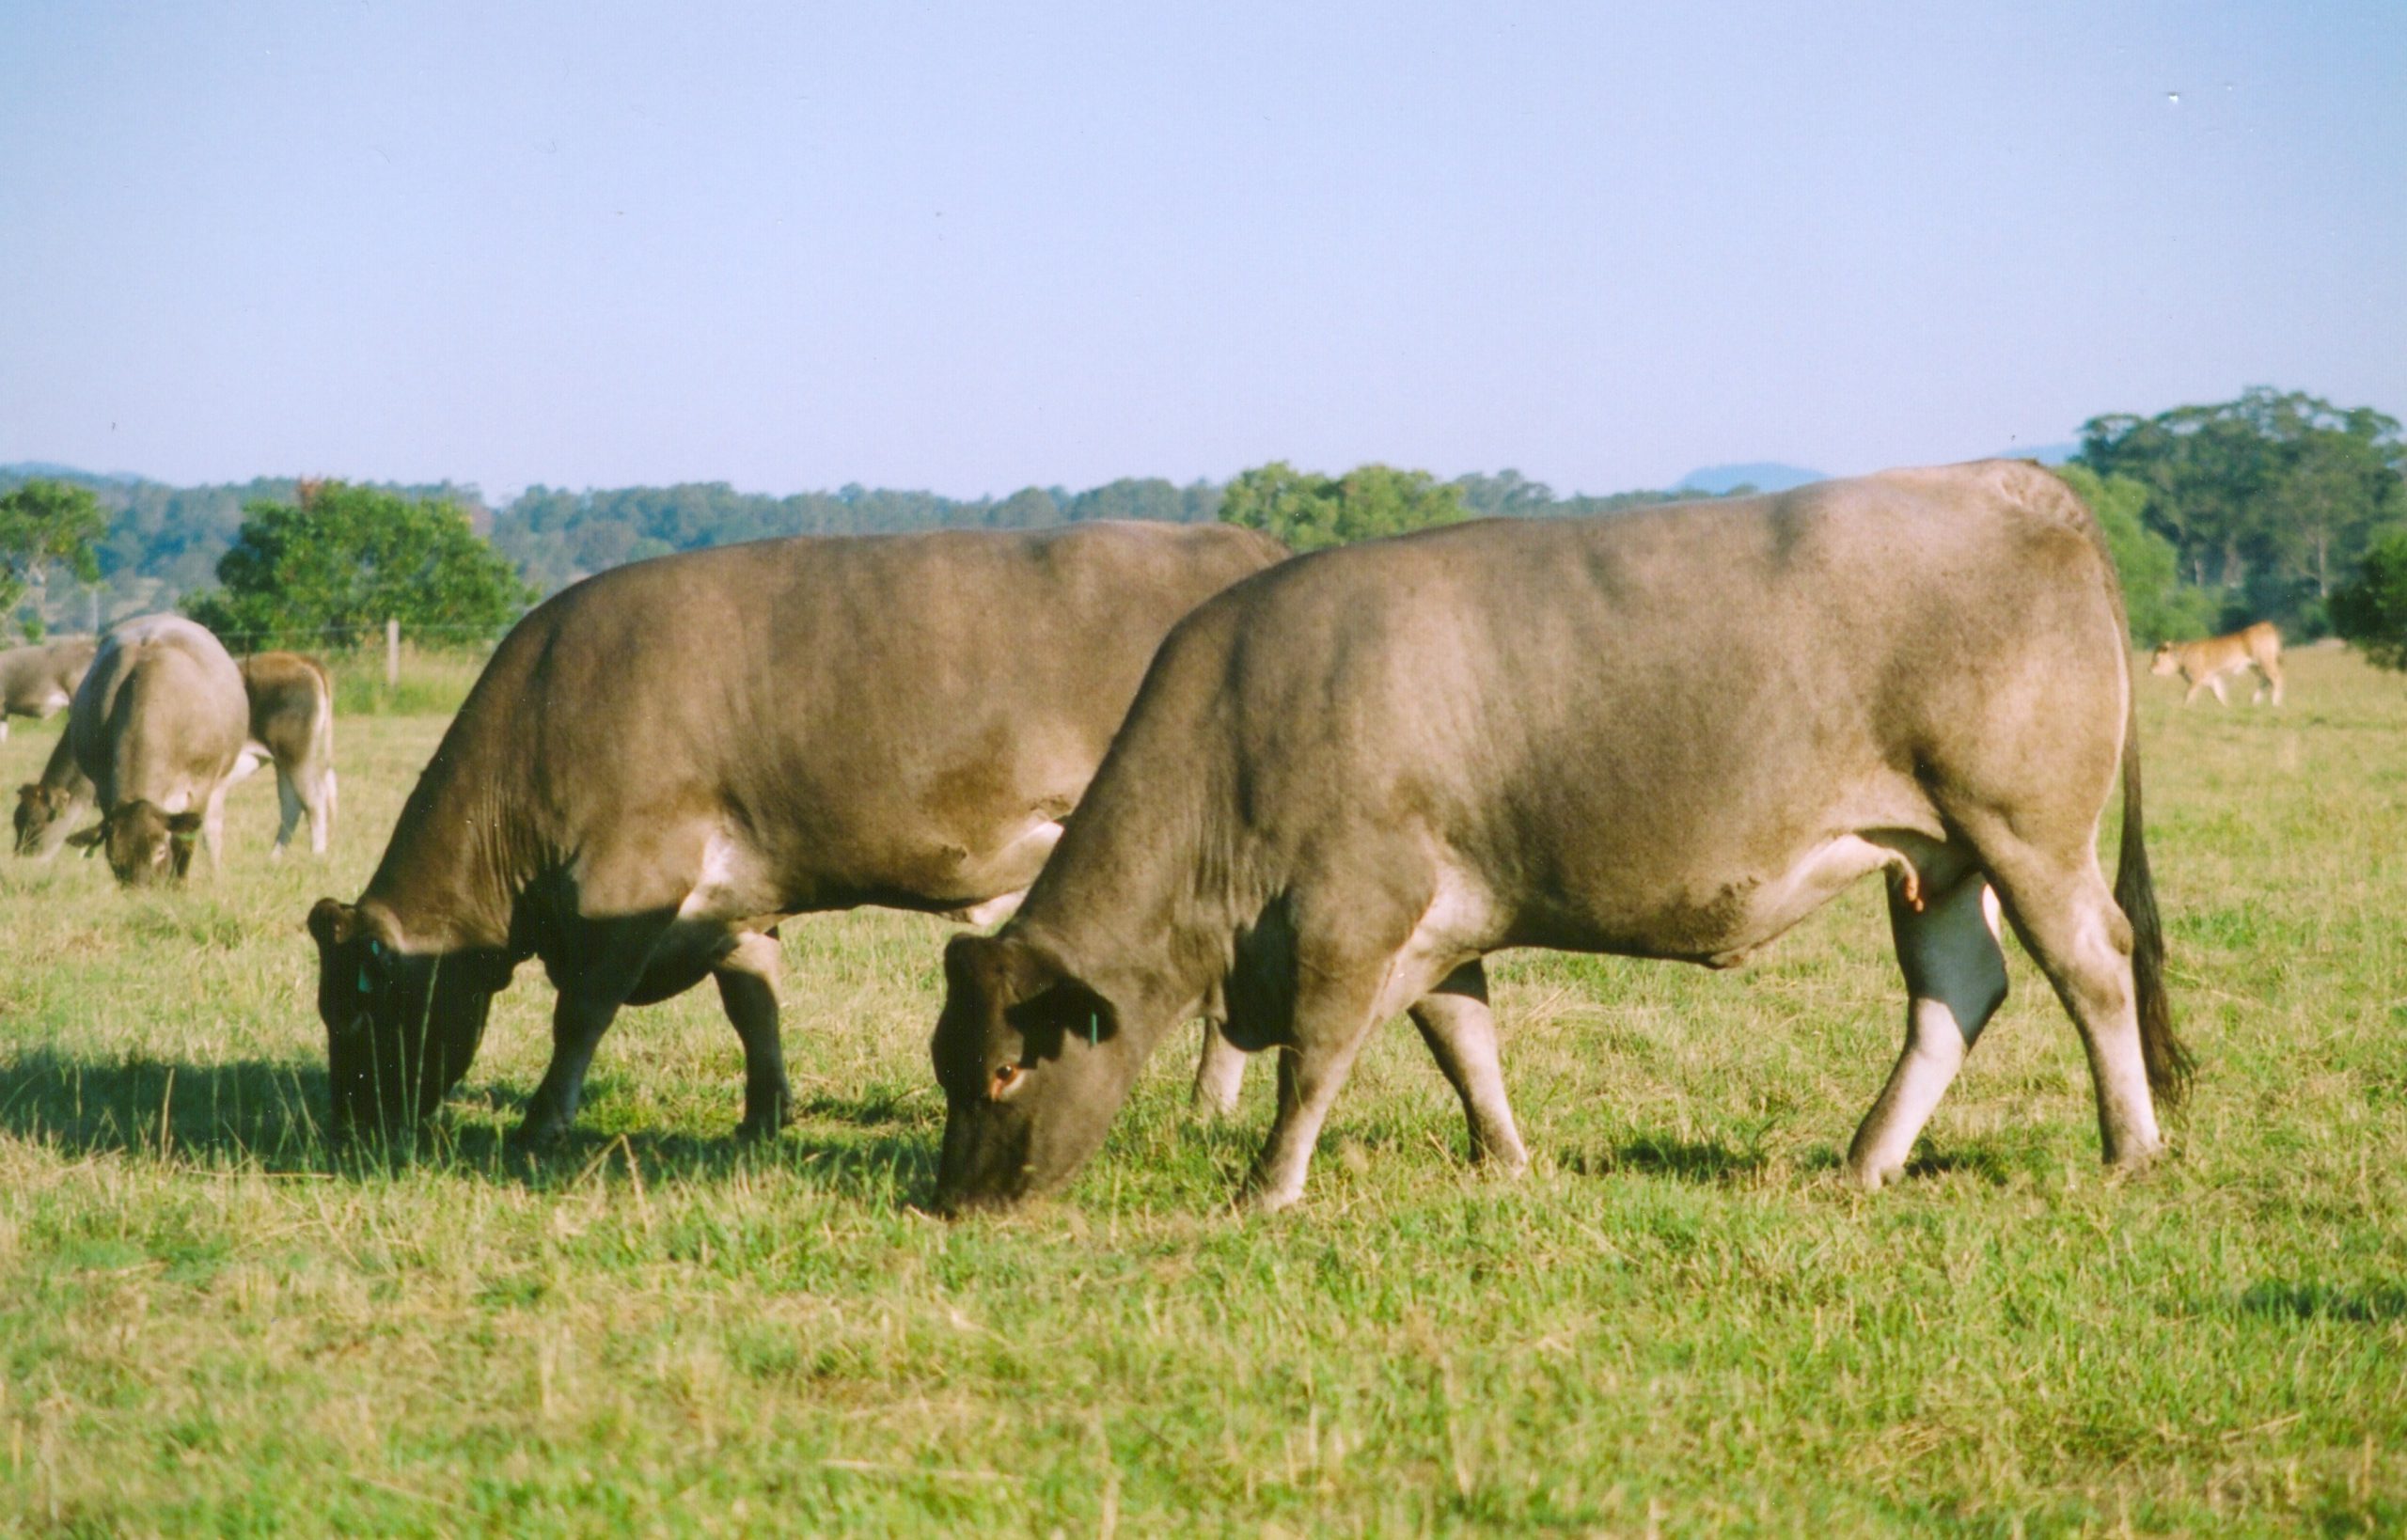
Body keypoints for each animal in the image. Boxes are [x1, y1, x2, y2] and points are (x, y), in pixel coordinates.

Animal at [64, 615, 251, 886]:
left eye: (159, 852)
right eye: (114, 858)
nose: (141, 891)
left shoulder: (199, 787)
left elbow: (185, 842)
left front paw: (179, 885)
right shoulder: (105, 789)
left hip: (219, 781)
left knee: (212, 832)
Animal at [230, 651, 337, 856]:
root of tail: (298, 658)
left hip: (296, 755)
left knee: (314, 801)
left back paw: (317, 856)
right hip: (283, 761)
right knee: (291, 806)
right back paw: (274, 858)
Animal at [306, 521, 1285, 1148]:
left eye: (354, 1005)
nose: (349, 1125)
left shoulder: (630, 878)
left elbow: (580, 1010)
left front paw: (542, 1122)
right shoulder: (733, 899)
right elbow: (756, 1005)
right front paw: (764, 1116)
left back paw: (1208, 1102)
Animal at [930, 462, 2194, 1214]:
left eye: (1004, 1070)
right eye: (944, 1065)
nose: (951, 1203)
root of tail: (2005, 481)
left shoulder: (1350, 912)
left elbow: (1313, 1058)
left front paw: (1268, 1190)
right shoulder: (1441, 918)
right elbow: (1463, 1040)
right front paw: (1506, 1159)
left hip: (2026, 833)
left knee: (2093, 965)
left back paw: (2128, 1150)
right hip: (1934, 857)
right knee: (1955, 991)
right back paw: (1865, 1159)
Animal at [2151, 621, 2283, 707]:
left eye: (2157, 658)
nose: (2150, 669)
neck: (2184, 655)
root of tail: (2265, 625)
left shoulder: (2196, 679)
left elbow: (2188, 695)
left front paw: (2184, 707)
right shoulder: (2212, 679)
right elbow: (2219, 694)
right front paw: (2228, 706)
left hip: (2266, 663)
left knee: (2276, 679)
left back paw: (2275, 703)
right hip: (2255, 666)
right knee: (2265, 680)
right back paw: (2254, 702)